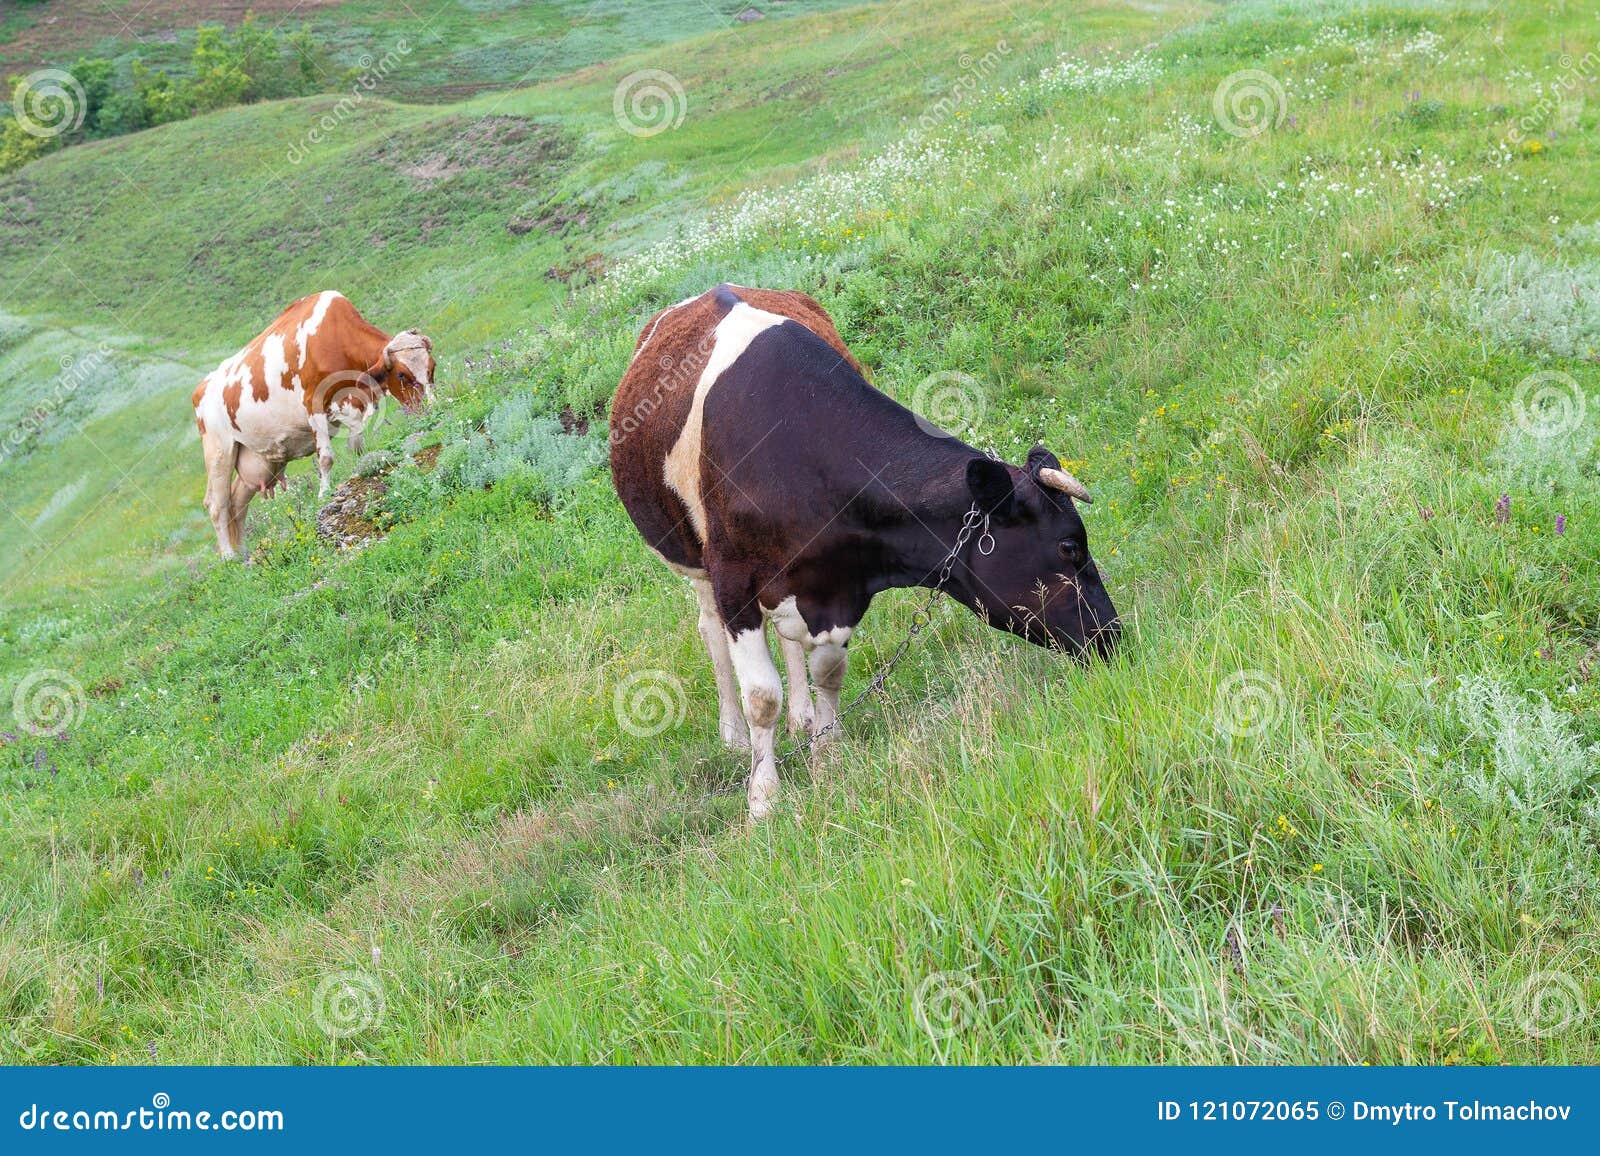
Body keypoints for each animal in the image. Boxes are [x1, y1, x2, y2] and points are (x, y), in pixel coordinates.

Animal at [191, 291, 436, 559]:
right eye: (402, 375)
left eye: (432, 368)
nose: (431, 409)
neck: (332, 337)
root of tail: (201, 388)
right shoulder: (313, 404)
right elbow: (326, 457)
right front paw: (323, 495)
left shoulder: (354, 406)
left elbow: (357, 447)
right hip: (218, 449)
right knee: (217, 504)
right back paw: (229, 557)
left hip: (258, 458)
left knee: (237, 502)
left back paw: (244, 553)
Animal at [609, 284, 1120, 821]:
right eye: (1069, 546)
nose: (1113, 635)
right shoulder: (735, 580)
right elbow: (762, 696)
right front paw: (763, 799)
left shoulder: (837, 583)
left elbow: (828, 672)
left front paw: (827, 756)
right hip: (695, 562)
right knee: (710, 630)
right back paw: (732, 736)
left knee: (788, 642)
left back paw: (801, 718)